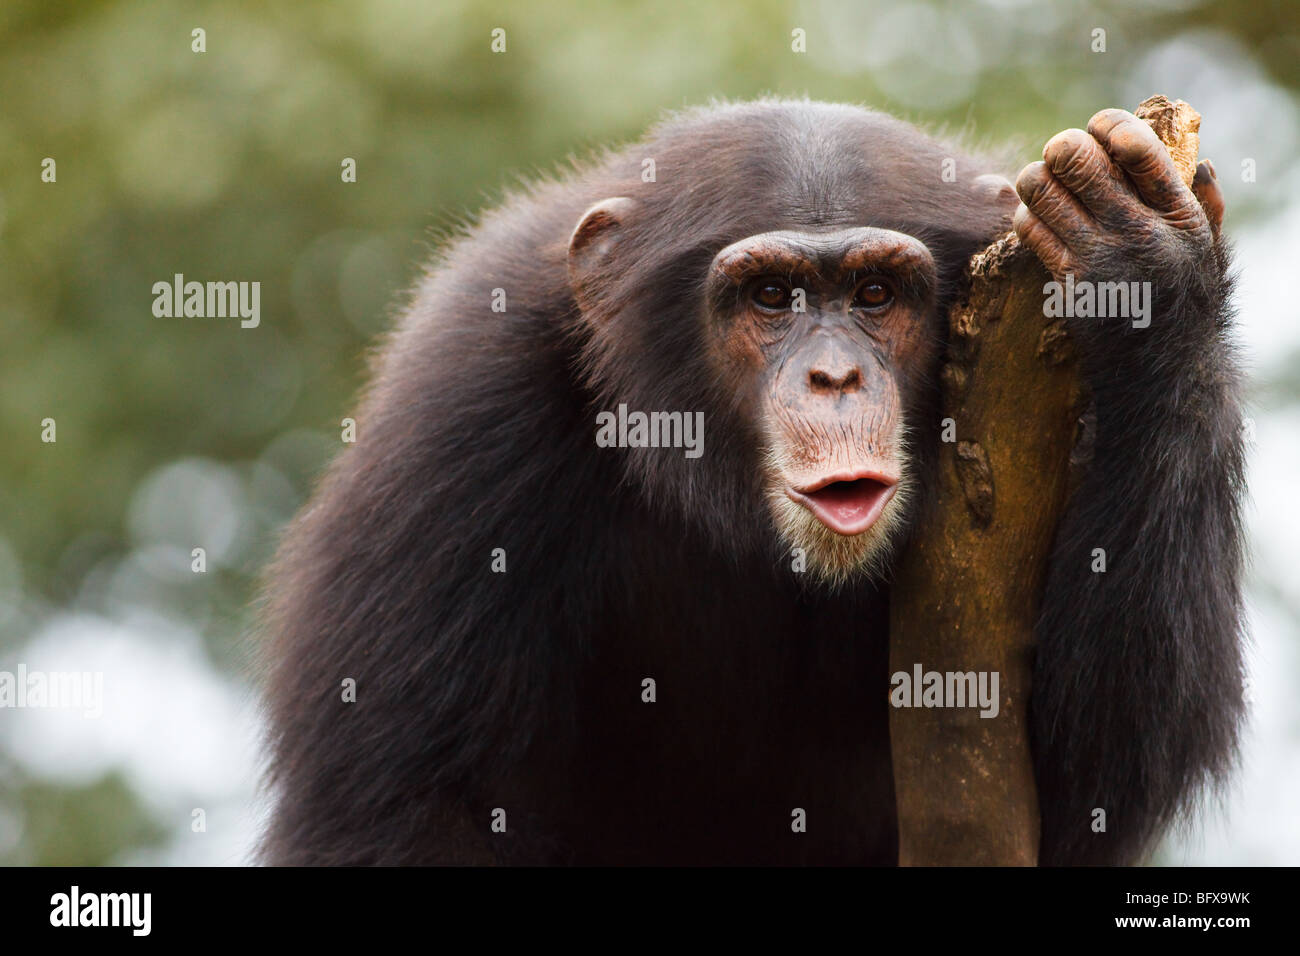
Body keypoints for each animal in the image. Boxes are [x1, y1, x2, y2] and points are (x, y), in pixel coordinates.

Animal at [259, 99, 1244, 865]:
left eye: (877, 294)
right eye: (772, 296)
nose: (835, 376)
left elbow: (1097, 761)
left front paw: (1141, 259)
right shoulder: (461, 401)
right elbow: (415, 802)